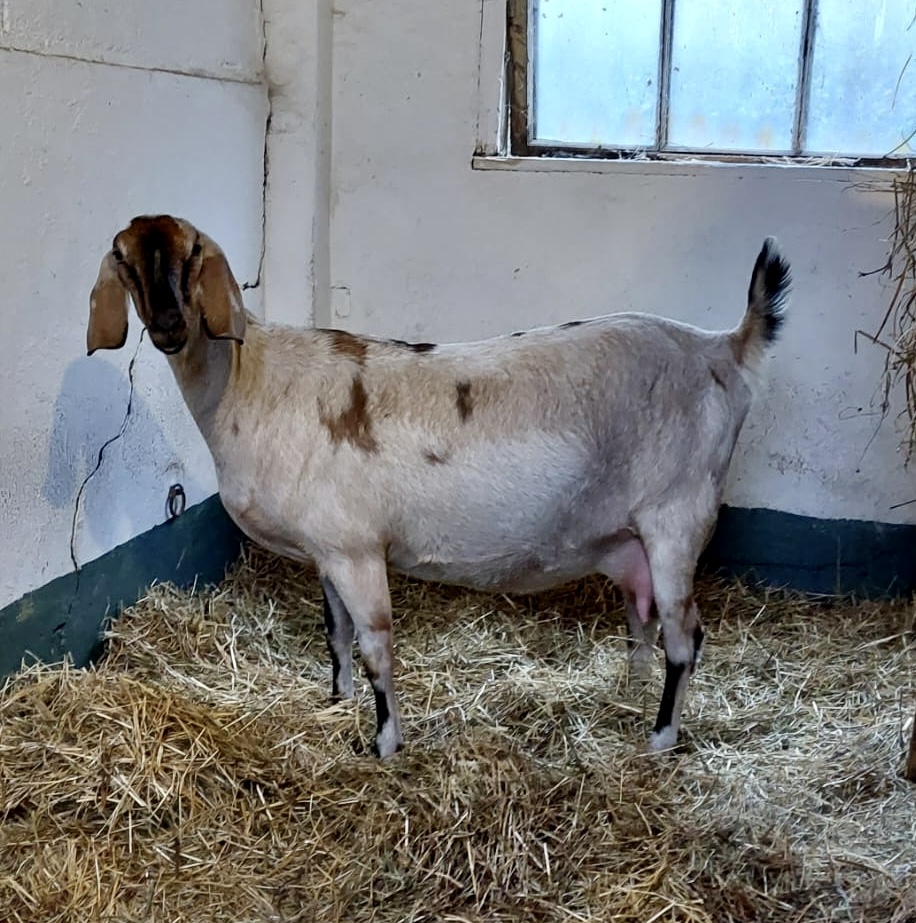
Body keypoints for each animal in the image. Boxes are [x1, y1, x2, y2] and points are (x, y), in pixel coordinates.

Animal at [87, 214, 790, 758]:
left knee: (685, 636)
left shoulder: (356, 549)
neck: (248, 380)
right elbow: (336, 633)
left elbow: (376, 645)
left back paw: (661, 737)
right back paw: (632, 692)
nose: (171, 324)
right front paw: (336, 701)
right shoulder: (327, 546)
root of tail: (723, 347)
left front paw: (383, 743)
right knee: (643, 620)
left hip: (678, 515)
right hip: (634, 536)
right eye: (124, 259)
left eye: (193, 254)